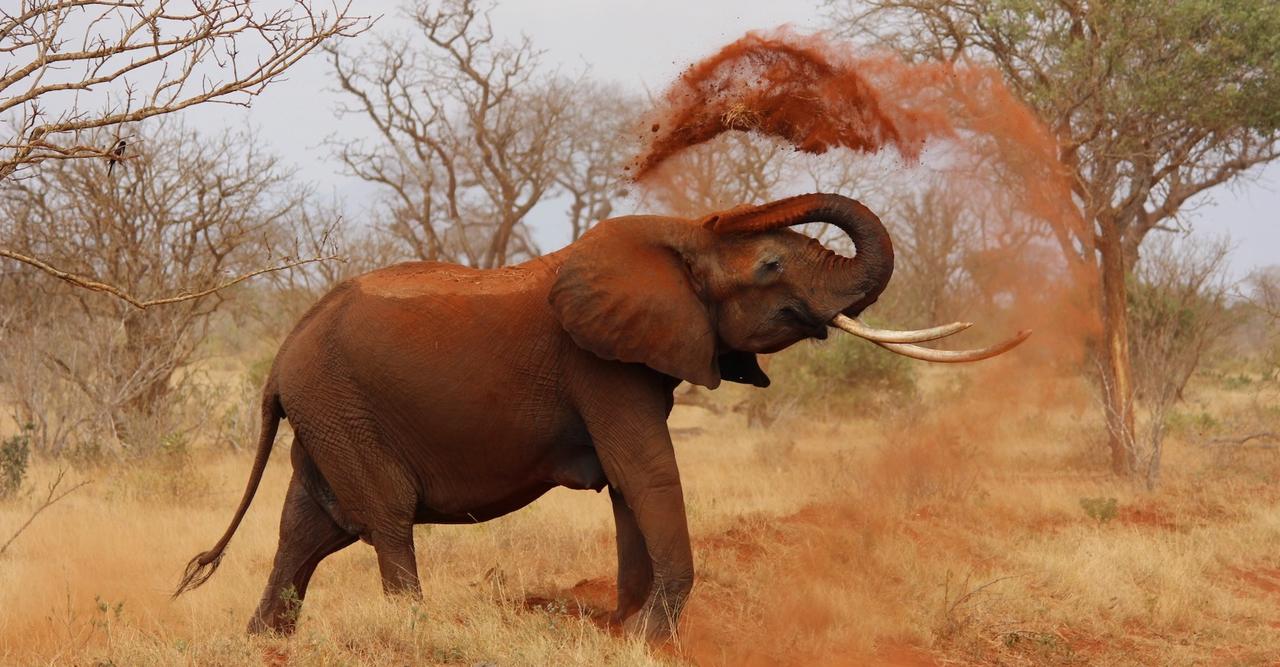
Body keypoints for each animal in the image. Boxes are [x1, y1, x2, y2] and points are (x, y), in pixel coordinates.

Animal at [173, 193, 1026, 640]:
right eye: (772, 265)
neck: (677, 239)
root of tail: (281, 355)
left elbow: (628, 485)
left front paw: (623, 630)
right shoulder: (600, 365)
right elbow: (645, 470)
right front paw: (650, 637)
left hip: (326, 413)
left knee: (309, 527)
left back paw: (264, 643)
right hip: (341, 406)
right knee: (382, 518)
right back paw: (416, 634)